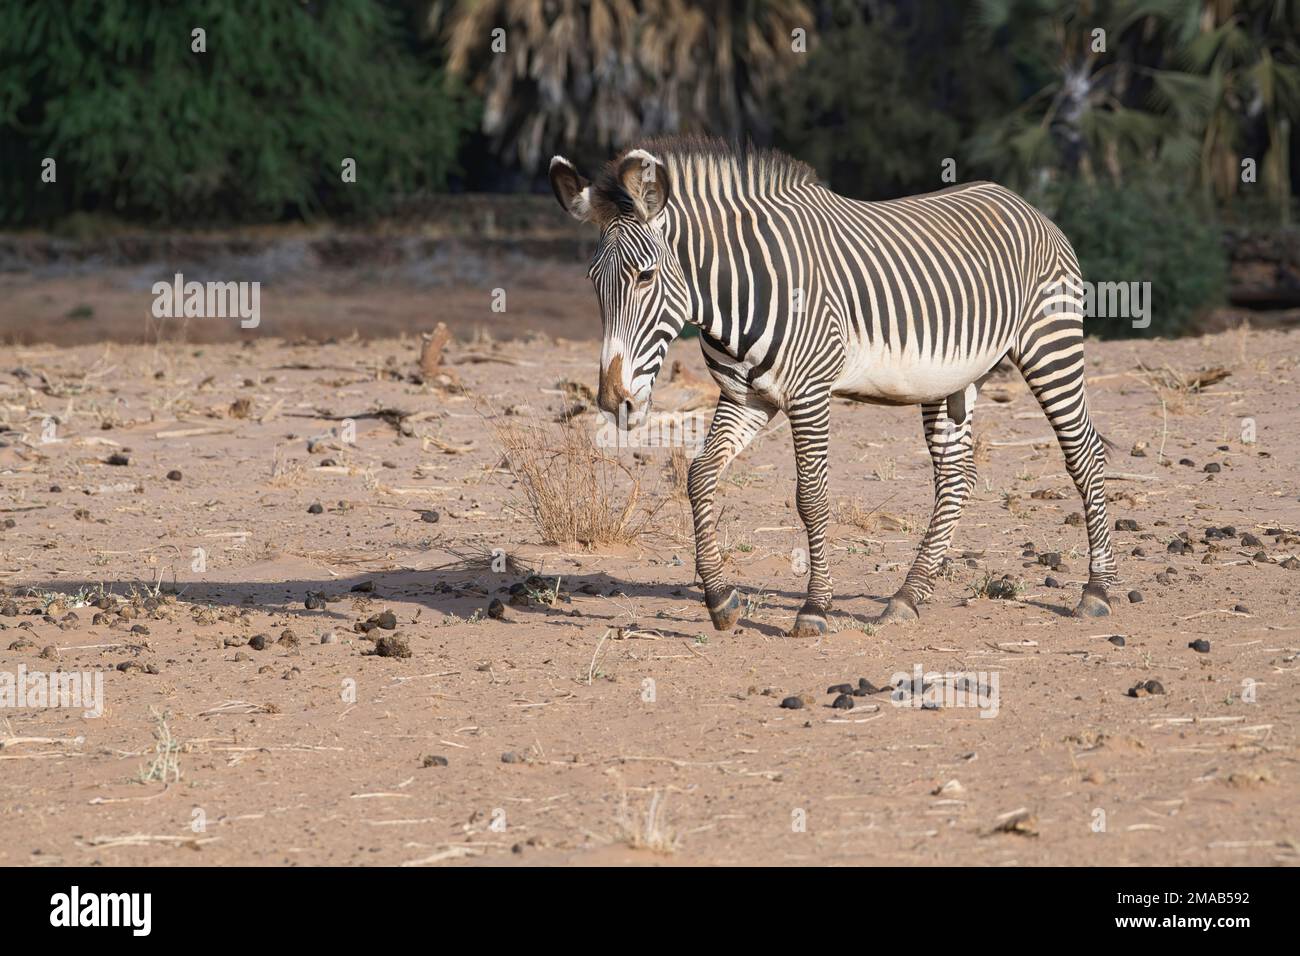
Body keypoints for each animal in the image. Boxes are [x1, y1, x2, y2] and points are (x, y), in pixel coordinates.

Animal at [548, 136, 1116, 637]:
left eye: (645, 277)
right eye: (594, 283)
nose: (613, 402)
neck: (734, 294)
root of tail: (1020, 201)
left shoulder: (809, 395)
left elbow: (812, 498)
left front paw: (814, 610)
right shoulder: (746, 397)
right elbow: (700, 476)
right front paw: (720, 601)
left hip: (1050, 345)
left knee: (1085, 455)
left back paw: (1098, 591)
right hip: (951, 380)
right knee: (957, 476)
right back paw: (908, 598)